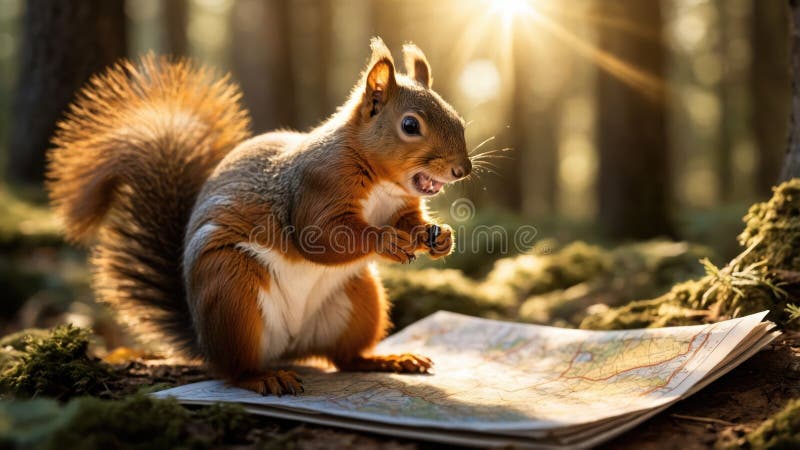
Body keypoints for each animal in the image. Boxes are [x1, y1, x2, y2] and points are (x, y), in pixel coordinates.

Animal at [47, 37, 471, 395]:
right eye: (410, 125)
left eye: (458, 119)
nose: (462, 169)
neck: (382, 181)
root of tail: (289, 346)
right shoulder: (316, 189)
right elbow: (322, 238)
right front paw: (386, 240)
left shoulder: (402, 205)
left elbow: (410, 222)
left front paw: (439, 237)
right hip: (230, 290)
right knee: (235, 368)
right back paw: (263, 378)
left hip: (361, 299)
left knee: (345, 357)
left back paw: (389, 359)